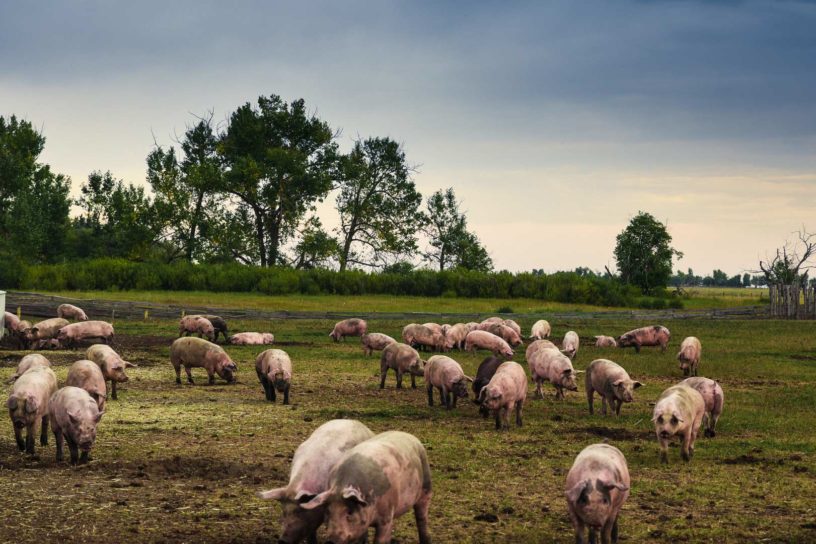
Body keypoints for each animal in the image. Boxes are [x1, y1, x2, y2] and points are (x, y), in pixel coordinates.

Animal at [300, 431, 432, 544]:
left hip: (426, 485)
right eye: (328, 511)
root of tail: (409, 436)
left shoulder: (386, 517)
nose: (330, 541)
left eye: (349, 512)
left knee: (422, 518)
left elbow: (381, 539)